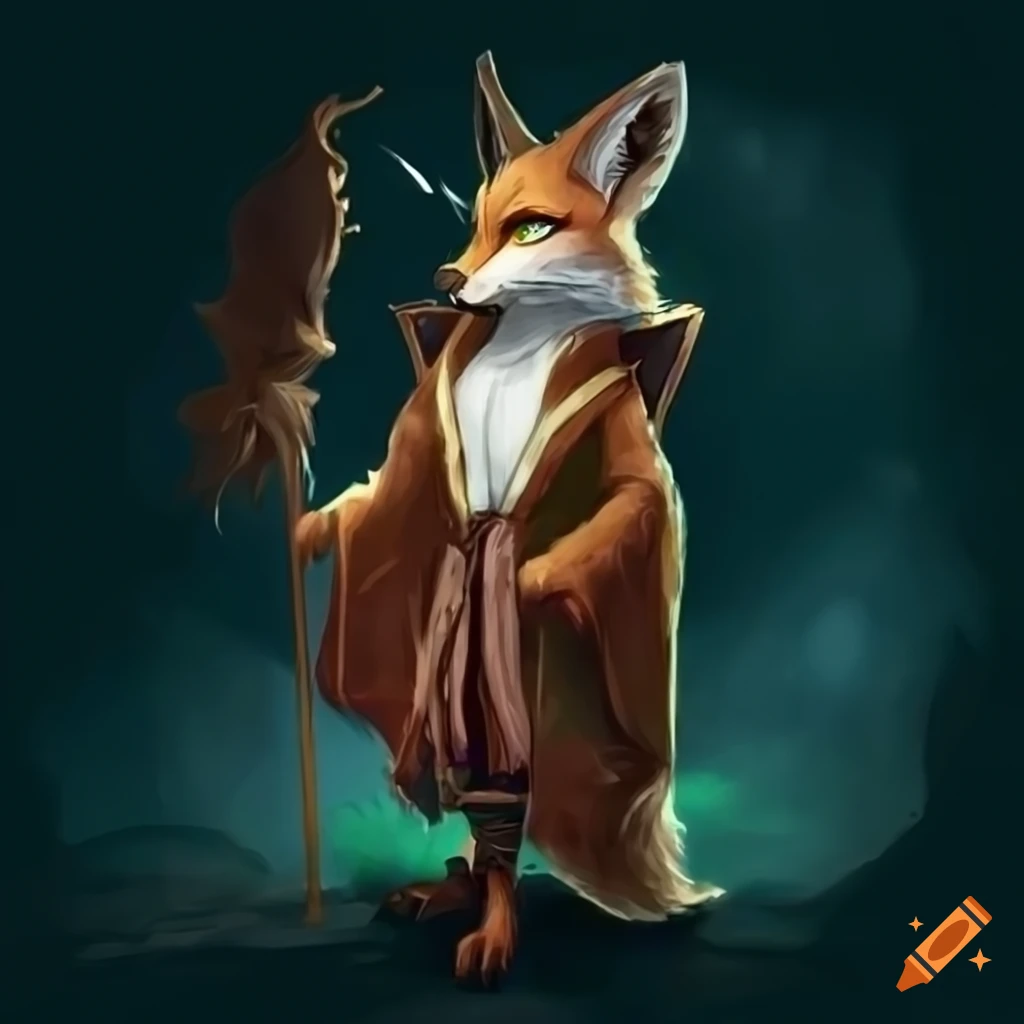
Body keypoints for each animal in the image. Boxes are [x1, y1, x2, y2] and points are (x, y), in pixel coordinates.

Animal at [298, 51, 721, 985]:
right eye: (478, 224)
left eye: (529, 229)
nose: (447, 283)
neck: (523, 341)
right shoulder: (423, 440)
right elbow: (375, 500)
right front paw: (313, 525)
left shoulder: (623, 431)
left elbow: (632, 499)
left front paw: (534, 574)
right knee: (479, 798)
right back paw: (459, 886)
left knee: (509, 791)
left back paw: (494, 912)